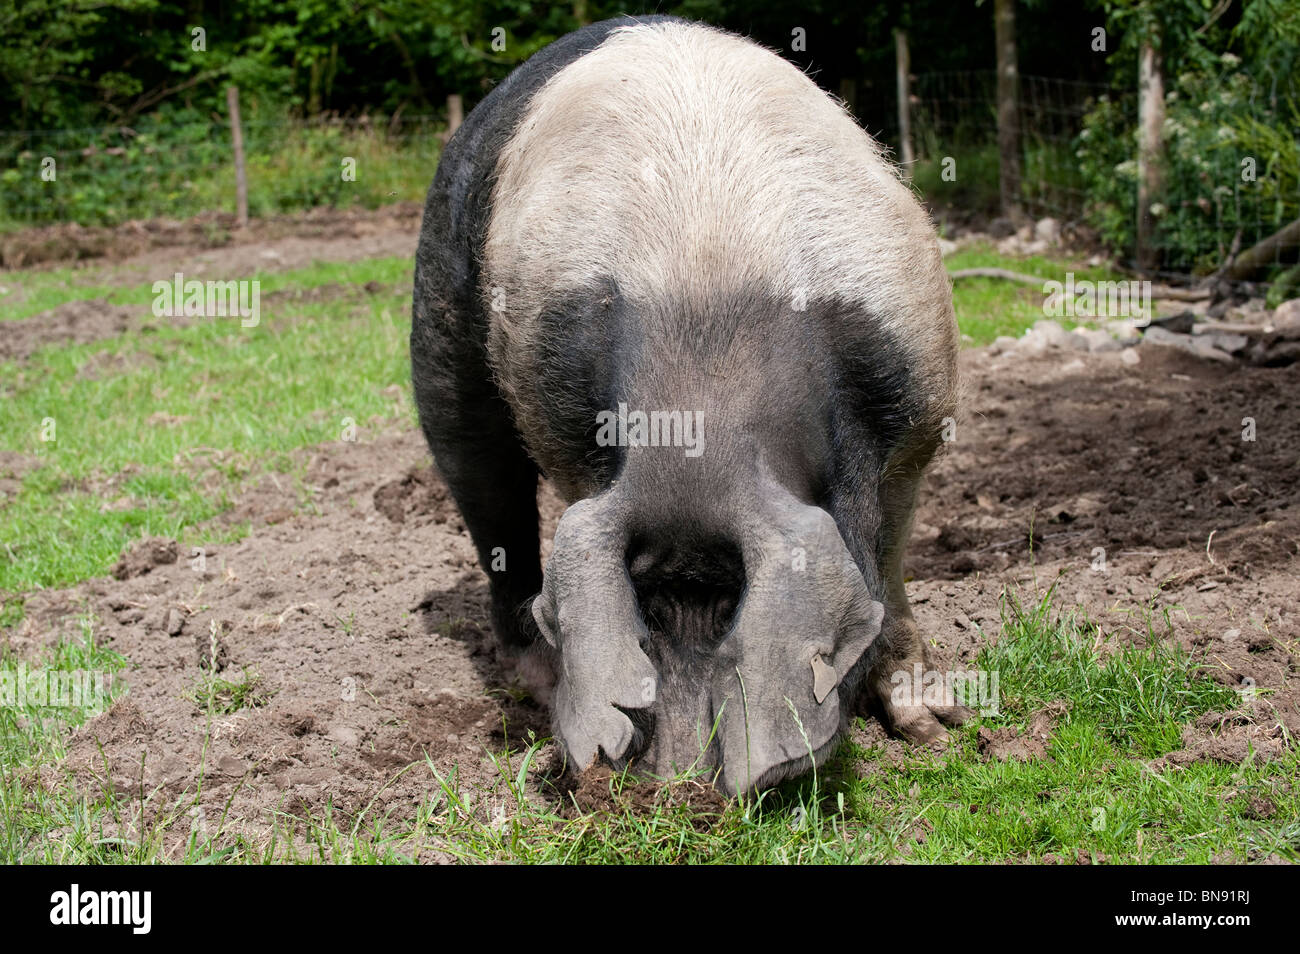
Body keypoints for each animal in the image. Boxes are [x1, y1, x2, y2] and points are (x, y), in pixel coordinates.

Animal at [411, 15, 967, 795]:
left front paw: (939, 732)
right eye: (646, 610)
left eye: (732, 608)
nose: (681, 787)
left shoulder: (917, 416)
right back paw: (538, 681)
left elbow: (888, 563)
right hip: (442, 327)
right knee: (489, 495)